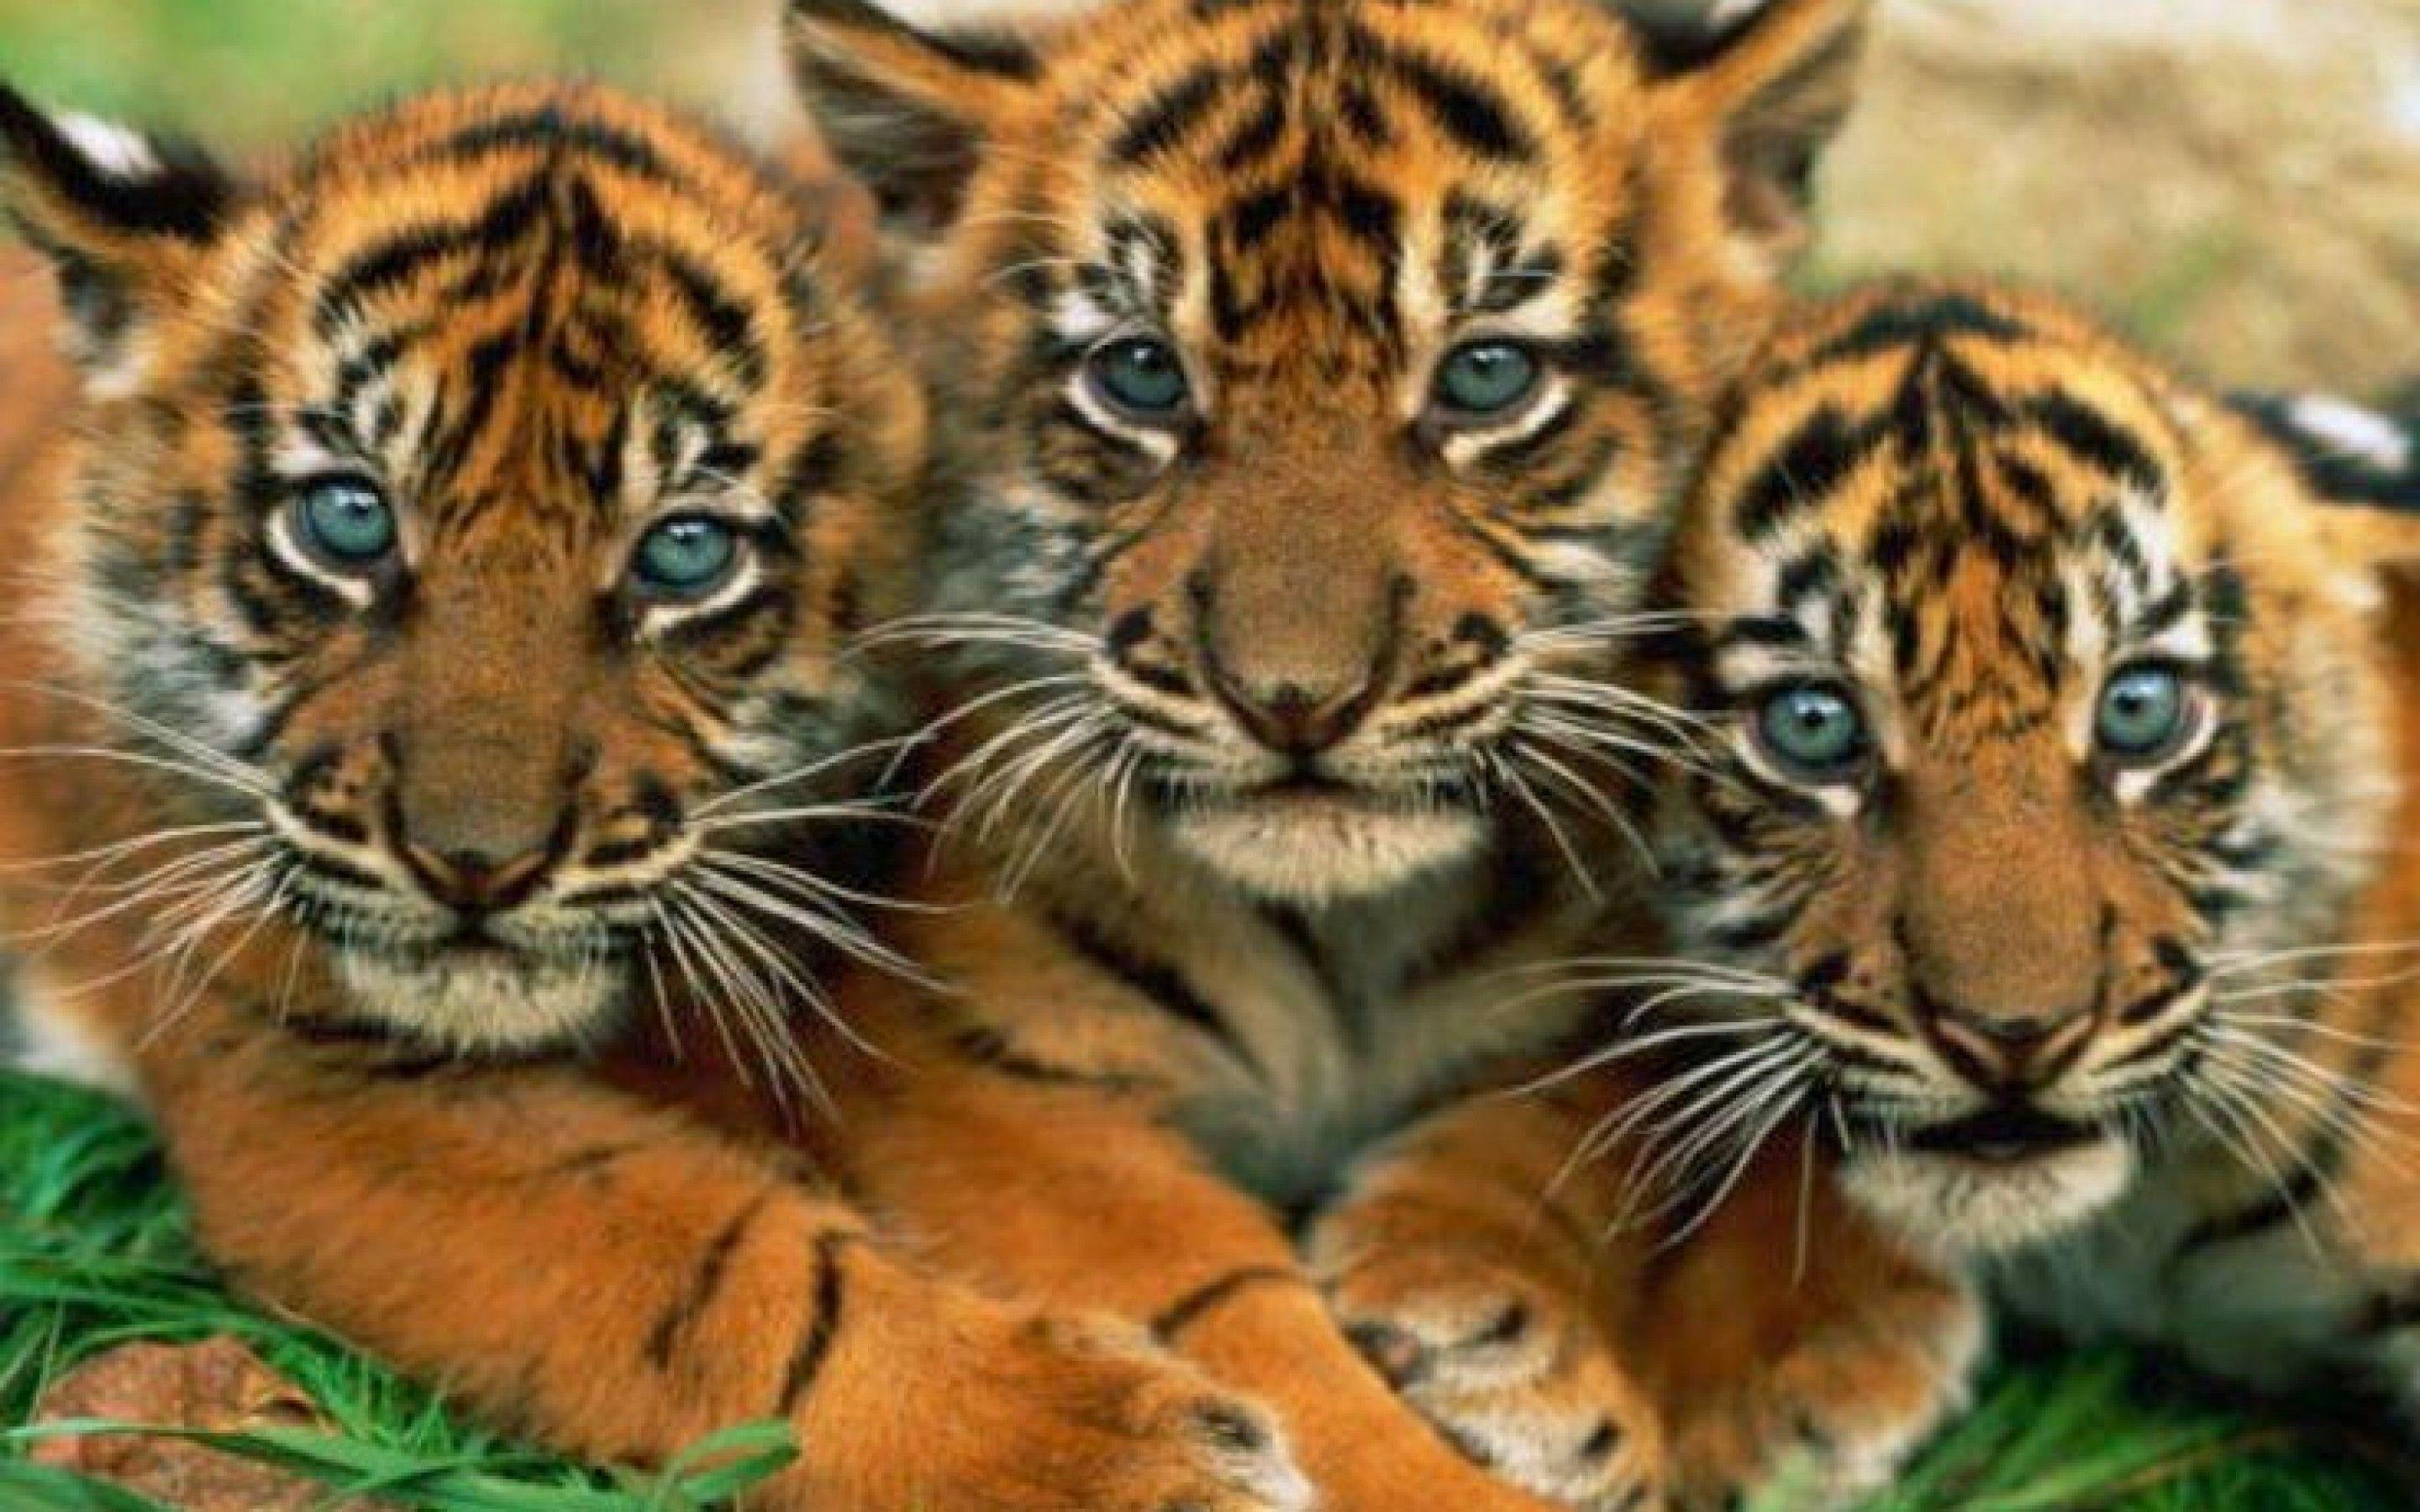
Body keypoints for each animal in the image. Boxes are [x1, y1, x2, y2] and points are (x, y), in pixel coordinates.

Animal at [0, 80, 1336, 1512]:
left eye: (683, 553)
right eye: (349, 519)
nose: (477, 865)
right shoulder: (309, 1077)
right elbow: (732, 1280)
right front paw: (1122, 1455)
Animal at [766, 0, 1868, 1506]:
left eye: (1486, 375)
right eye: (1141, 374)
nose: (1294, 700)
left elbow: (1546, 1140)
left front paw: (1500, 1329)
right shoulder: (982, 1083)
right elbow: (1234, 1315)